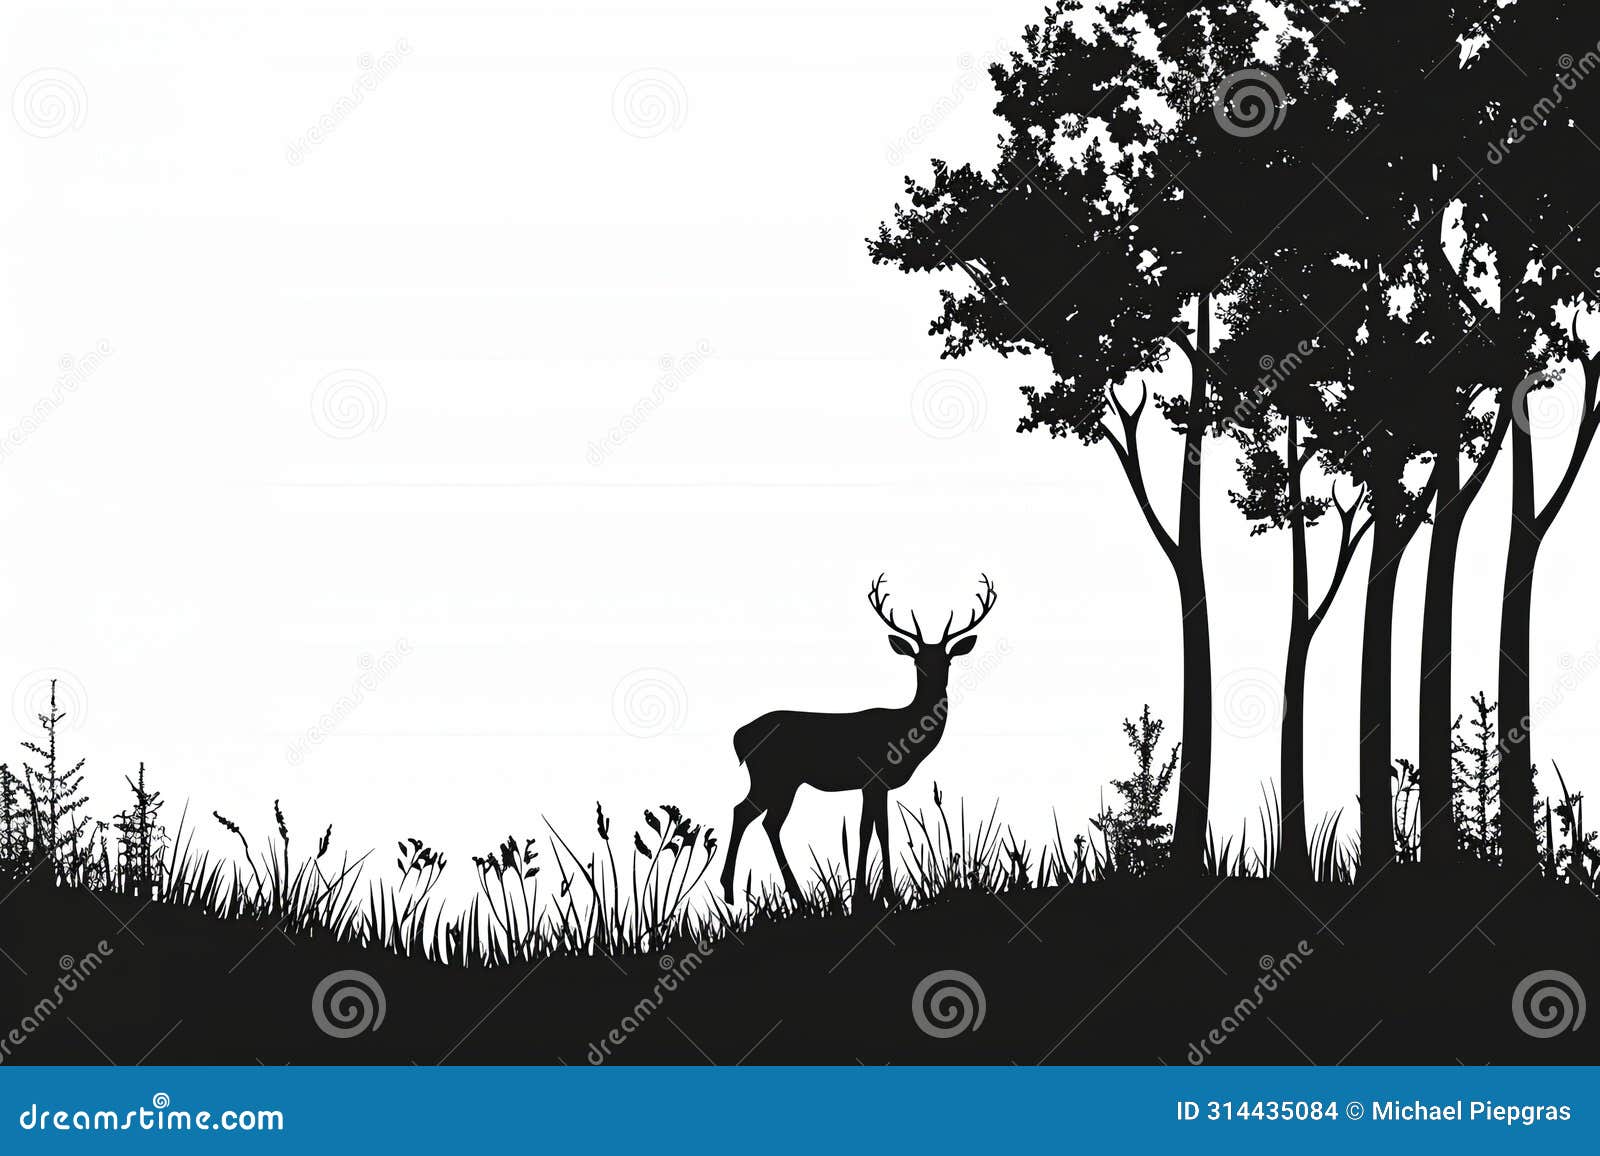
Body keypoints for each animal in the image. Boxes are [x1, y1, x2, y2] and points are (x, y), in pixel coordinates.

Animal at [720, 573, 997, 906]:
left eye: (948, 661)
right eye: (917, 661)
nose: (934, 680)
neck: (903, 731)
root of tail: (740, 736)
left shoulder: (876, 785)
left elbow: (876, 829)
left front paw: (875, 893)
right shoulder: (874, 777)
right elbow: (872, 831)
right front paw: (872, 895)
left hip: (780, 782)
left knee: (762, 821)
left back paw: (784, 895)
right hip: (774, 777)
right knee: (747, 814)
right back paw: (737, 891)